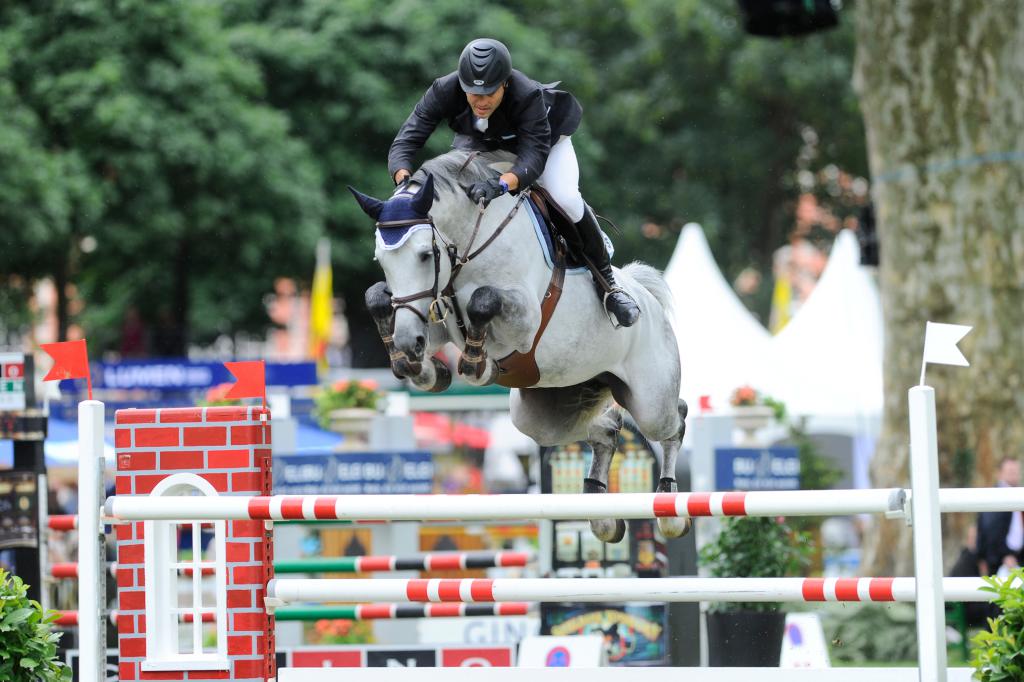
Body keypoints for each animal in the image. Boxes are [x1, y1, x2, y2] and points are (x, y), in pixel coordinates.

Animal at [348, 150, 692, 540]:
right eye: (381, 259)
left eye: (423, 254)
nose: (410, 342)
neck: (471, 245)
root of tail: (646, 295)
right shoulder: (429, 314)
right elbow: (377, 298)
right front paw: (421, 366)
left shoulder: (523, 319)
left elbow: (483, 301)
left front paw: (476, 364)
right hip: (546, 414)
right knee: (605, 430)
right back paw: (602, 516)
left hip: (650, 401)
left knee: (674, 420)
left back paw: (669, 510)